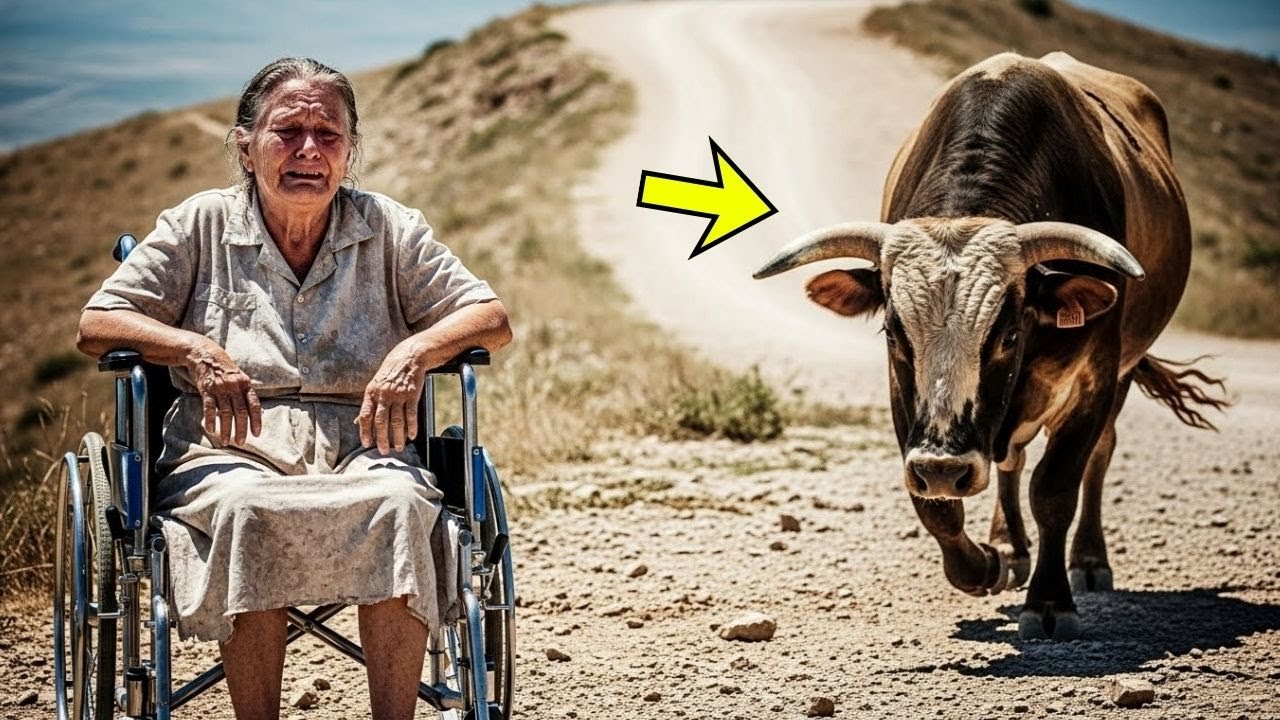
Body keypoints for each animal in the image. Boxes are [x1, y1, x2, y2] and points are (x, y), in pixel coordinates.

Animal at [754, 52, 1226, 640]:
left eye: (1008, 334)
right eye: (893, 332)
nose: (943, 468)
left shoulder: (1094, 376)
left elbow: (1055, 489)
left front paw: (1050, 601)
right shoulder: (904, 400)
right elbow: (935, 506)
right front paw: (986, 564)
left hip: (1119, 374)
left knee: (1097, 455)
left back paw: (1089, 560)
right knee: (1012, 460)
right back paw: (1009, 545)